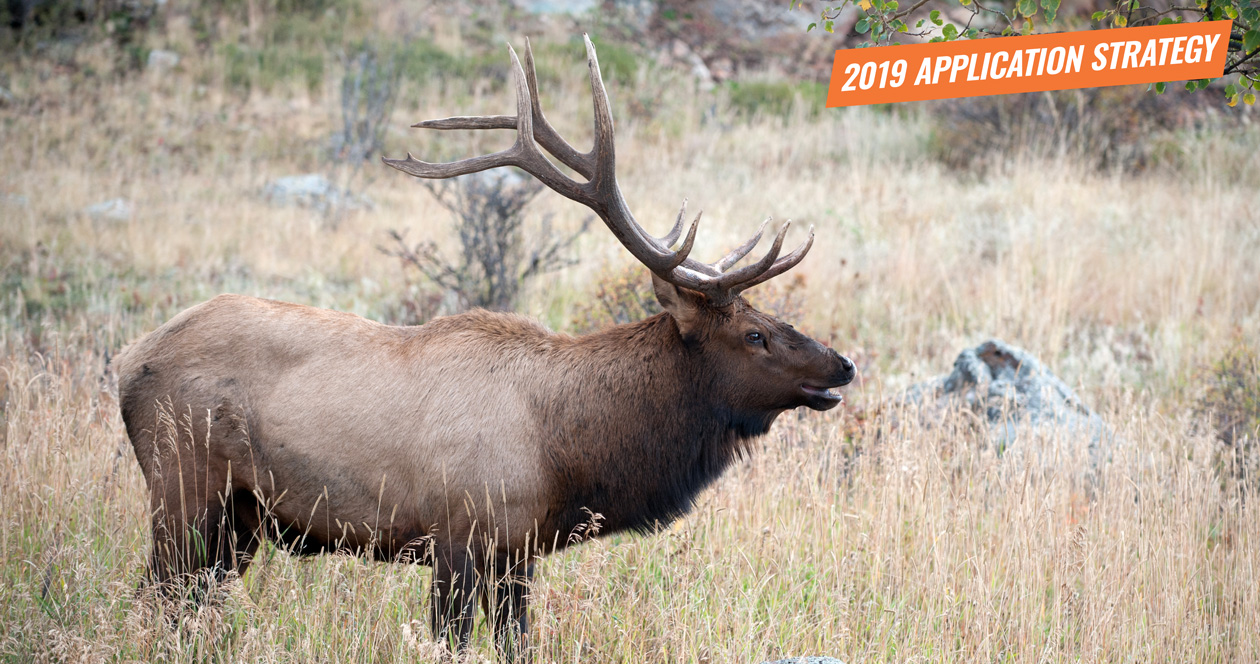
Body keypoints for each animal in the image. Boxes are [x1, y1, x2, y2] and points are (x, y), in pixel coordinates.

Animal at [115, 36, 855, 660]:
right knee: (152, 601)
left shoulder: (517, 551)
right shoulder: (457, 535)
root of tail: (126, 361)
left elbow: (517, 643)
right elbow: (450, 641)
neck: (565, 450)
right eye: (755, 334)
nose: (843, 363)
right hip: (182, 489)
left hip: (238, 520)